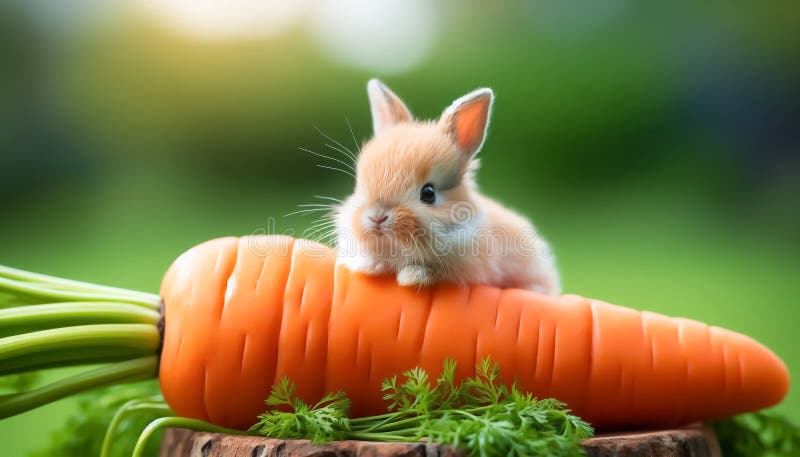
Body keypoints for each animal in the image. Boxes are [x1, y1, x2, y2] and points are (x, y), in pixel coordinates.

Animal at [333, 79, 560, 294]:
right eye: (358, 186)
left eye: (429, 193)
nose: (377, 217)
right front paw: (366, 265)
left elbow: (434, 271)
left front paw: (410, 277)